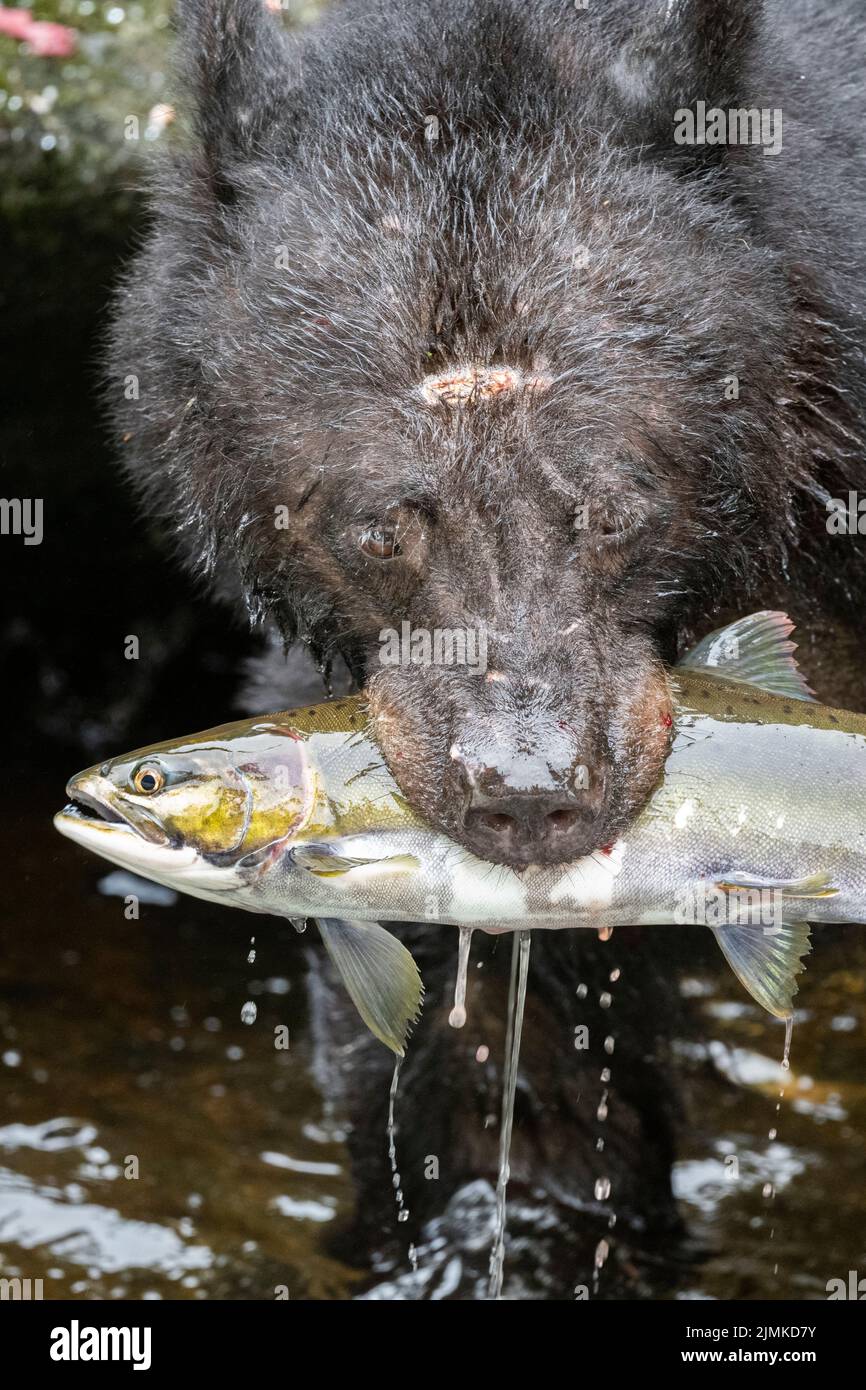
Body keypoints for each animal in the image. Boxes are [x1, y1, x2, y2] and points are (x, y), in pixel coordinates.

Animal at [107, 0, 866, 1296]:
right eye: (378, 524)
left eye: (613, 507)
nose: (524, 795)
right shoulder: (375, 703)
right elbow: (505, 1025)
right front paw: (503, 1223)